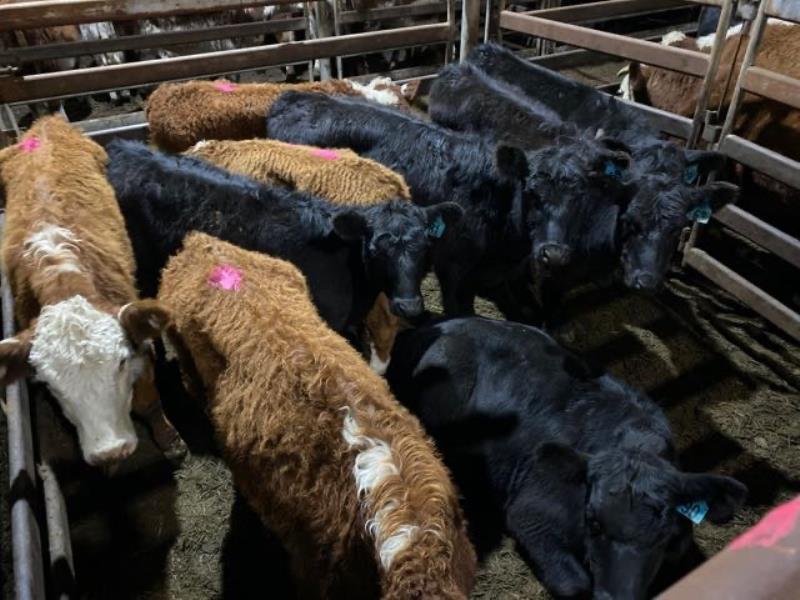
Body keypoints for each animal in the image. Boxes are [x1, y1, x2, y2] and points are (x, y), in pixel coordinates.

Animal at [0, 116, 185, 466]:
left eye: (121, 362)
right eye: (49, 383)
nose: (111, 450)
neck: (59, 272)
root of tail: (45, 123)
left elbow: (149, 400)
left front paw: (170, 440)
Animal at [266, 91, 634, 319]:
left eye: (584, 194)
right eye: (531, 191)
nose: (553, 254)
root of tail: (294, 96)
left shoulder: (507, 274)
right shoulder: (454, 272)